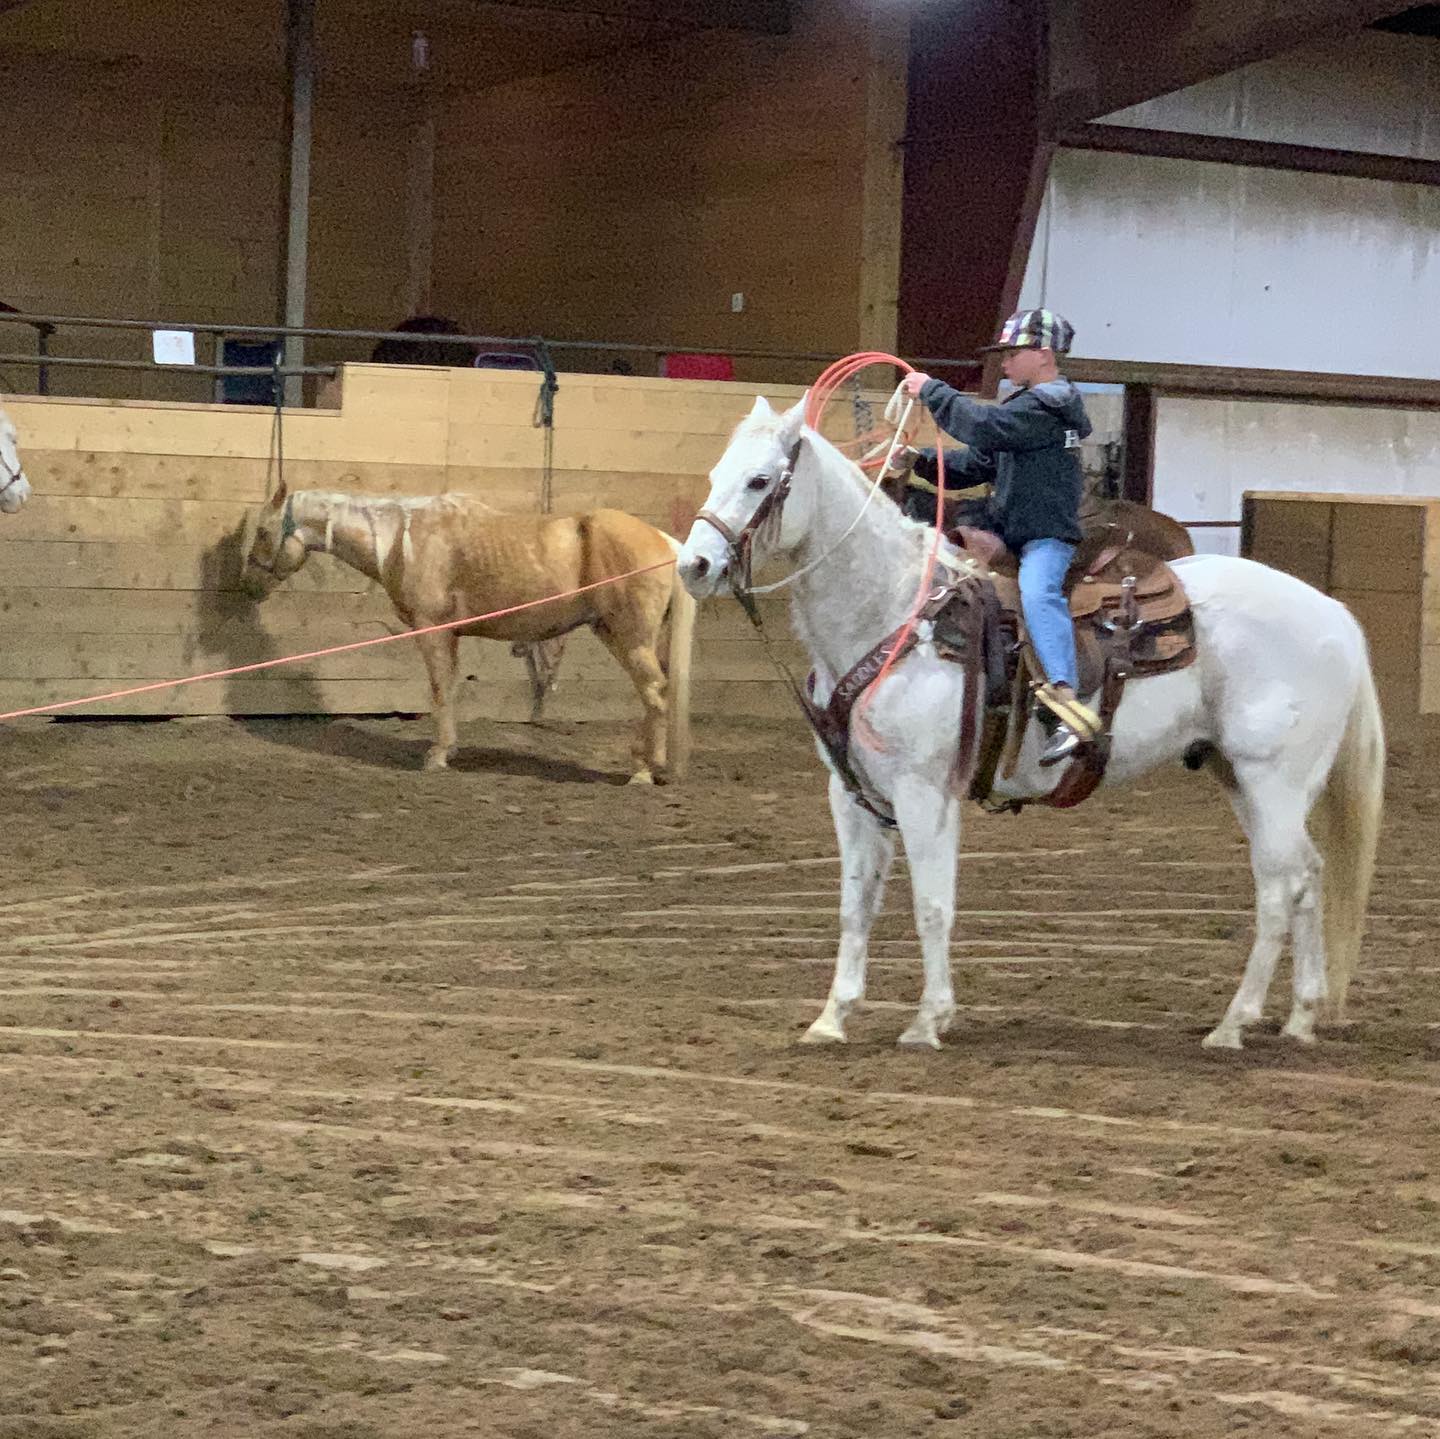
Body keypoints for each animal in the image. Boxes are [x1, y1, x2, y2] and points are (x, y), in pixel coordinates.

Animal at [242, 484, 694, 783]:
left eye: (263, 532)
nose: (248, 586)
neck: (403, 539)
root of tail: (666, 544)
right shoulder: (452, 635)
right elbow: (452, 687)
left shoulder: (432, 630)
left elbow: (440, 689)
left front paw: (438, 755)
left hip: (630, 640)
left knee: (654, 694)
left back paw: (643, 770)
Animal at [678, 396, 1384, 1051]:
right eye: (714, 473)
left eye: (760, 481)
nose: (694, 567)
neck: (896, 616)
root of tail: (1334, 614)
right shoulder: (851, 795)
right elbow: (856, 907)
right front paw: (832, 1019)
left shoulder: (924, 793)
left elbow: (931, 905)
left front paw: (927, 1021)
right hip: (1240, 776)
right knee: (1310, 875)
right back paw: (1300, 1017)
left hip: (1274, 779)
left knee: (1280, 888)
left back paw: (1232, 1025)